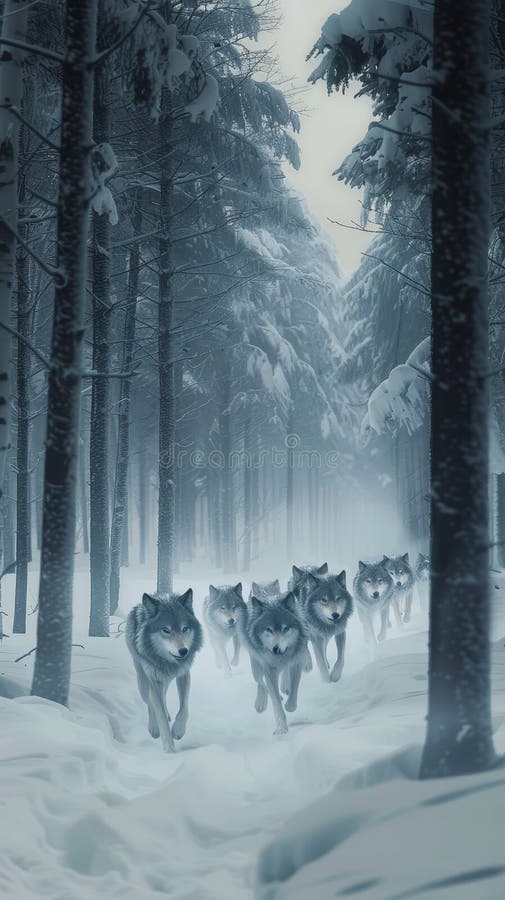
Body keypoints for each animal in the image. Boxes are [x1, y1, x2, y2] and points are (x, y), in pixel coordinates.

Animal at [125, 589, 203, 753]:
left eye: (185, 629)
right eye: (166, 630)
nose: (183, 651)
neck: (169, 662)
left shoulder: (184, 674)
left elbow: (184, 708)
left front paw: (178, 731)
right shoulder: (154, 680)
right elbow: (158, 712)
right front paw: (169, 748)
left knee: (163, 696)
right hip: (143, 682)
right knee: (149, 702)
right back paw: (153, 728)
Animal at [240, 591, 306, 734]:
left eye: (285, 629)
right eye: (268, 629)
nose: (276, 649)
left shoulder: (297, 662)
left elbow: (293, 694)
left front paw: (289, 705)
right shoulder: (269, 670)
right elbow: (276, 702)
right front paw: (281, 728)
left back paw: (285, 687)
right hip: (256, 667)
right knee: (261, 683)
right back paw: (261, 703)